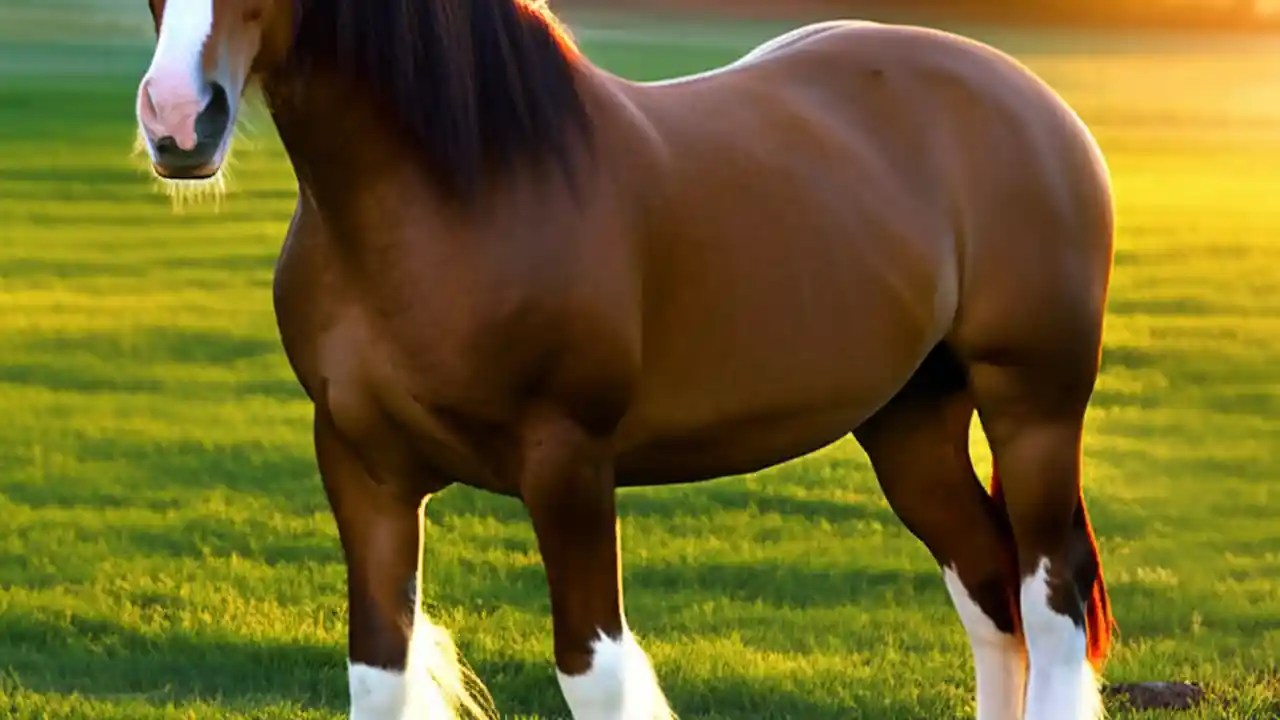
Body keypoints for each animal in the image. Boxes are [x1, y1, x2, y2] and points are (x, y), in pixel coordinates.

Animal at [134, 1, 1116, 718]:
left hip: (1033, 406)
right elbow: (379, 674)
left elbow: (592, 672)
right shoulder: (361, 467)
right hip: (910, 423)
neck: (458, 192)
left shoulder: (568, 463)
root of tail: (1029, 97)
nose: (180, 120)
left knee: (1049, 601)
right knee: (989, 592)